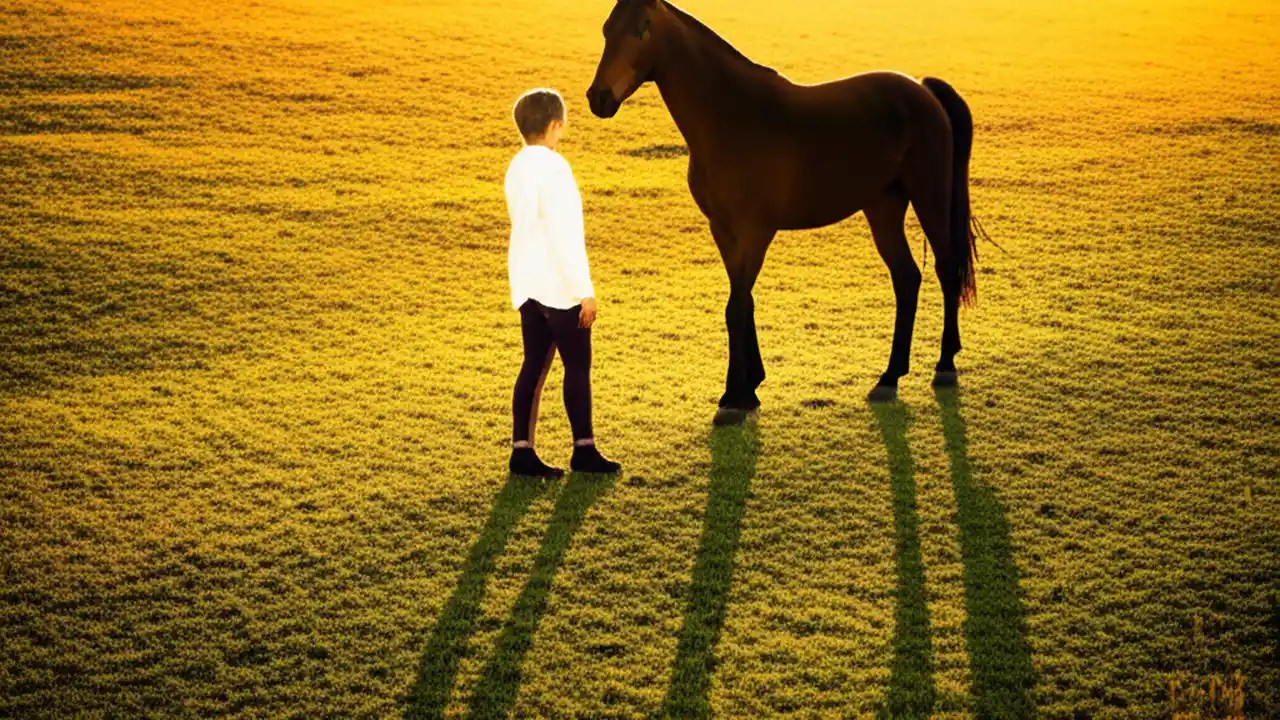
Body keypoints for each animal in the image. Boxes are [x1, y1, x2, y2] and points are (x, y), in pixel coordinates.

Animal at [588, 0, 987, 426]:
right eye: (606, 28)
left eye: (643, 27)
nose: (598, 98)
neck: (732, 118)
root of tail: (923, 90)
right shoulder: (723, 231)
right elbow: (742, 302)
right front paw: (749, 389)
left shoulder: (754, 233)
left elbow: (736, 307)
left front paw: (734, 398)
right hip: (883, 206)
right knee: (906, 277)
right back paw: (889, 377)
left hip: (930, 197)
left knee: (946, 269)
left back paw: (944, 366)